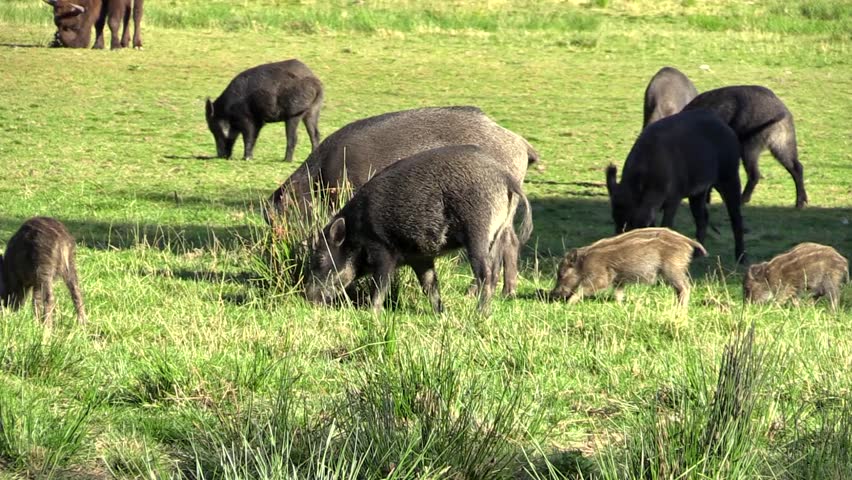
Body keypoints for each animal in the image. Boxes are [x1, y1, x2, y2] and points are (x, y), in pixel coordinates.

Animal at [266, 106, 538, 296]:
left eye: (282, 215)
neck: (319, 179)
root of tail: (521, 144)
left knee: (501, 246)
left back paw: (479, 293)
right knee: (511, 242)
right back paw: (507, 293)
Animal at [304, 144, 533, 313]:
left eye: (320, 259)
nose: (307, 298)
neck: (356, 232)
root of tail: (505, 177)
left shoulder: (382, 249)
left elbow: (380, 285)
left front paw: (372, 313)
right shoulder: (420, 258)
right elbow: (429, 285)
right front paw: (441, 314)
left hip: (478, 231)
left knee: (487, 274)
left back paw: (478, 314)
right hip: (497, 232)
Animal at [551, 228, 706, 307]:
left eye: (562, 273)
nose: (553, 294)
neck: (583, 263)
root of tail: (688, 241)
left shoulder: (600, 277)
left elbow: (583, 289)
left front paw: (569, 304)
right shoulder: (619, 279)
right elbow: (618, 293)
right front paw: (620, 306)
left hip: (672, 269)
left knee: (685, 287)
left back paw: (681, 308)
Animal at [606, 109, 746, 263]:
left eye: (632, 221)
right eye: (614, 219)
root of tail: (727, 128)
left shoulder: (674, 197)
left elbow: (666, 224)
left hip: (729, 175)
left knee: (736, 218)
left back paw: (741, 259)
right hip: (698, 192)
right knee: (702, 217)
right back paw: (698, 255)